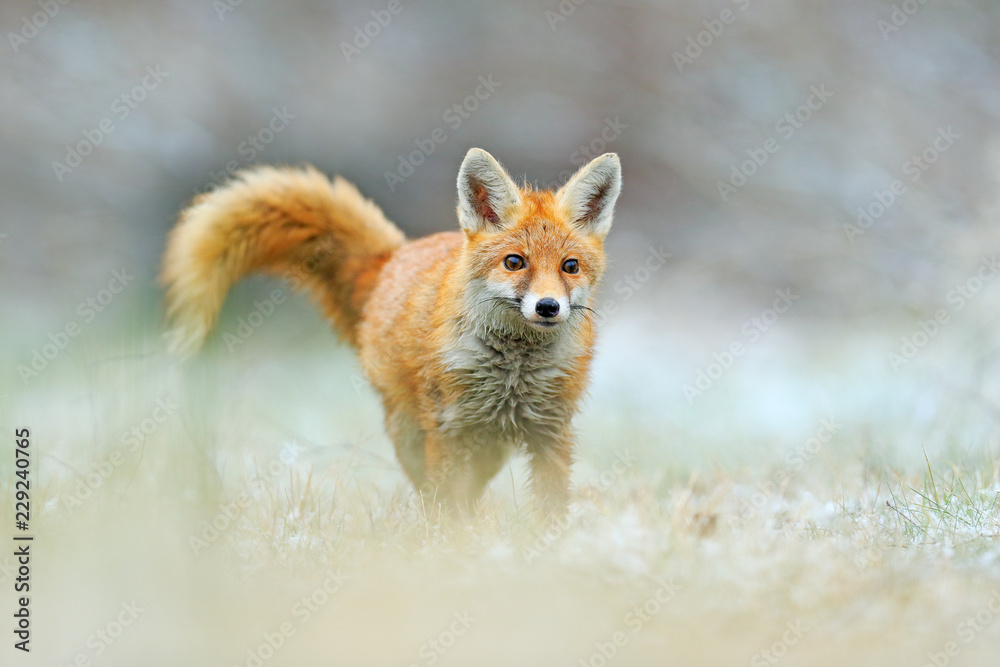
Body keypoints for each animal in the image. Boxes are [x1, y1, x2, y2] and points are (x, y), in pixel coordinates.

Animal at [161, 148, 622, 513]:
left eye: (570, 266)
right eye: (514, 262)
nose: (548, 307)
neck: (513, 372)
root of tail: (392, 258)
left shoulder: (552, 433)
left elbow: (549, 510)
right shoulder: (449, 431)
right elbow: (449, 506)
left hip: (489, 448)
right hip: (412, 433)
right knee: (431, 490)